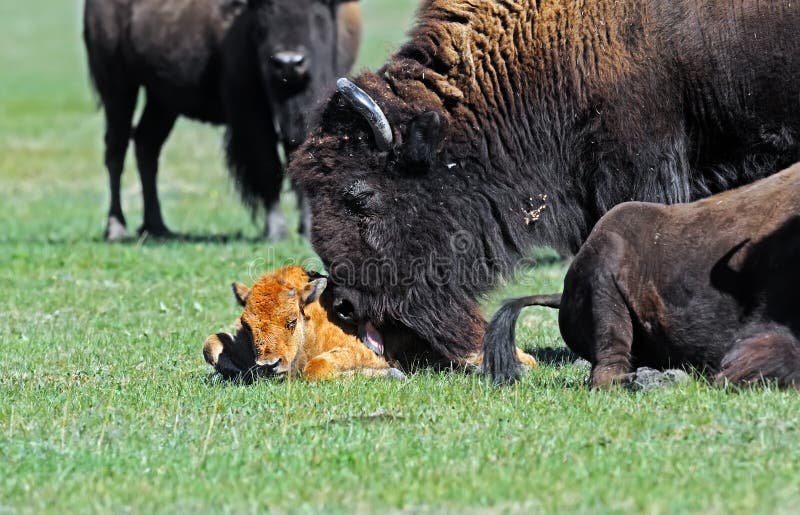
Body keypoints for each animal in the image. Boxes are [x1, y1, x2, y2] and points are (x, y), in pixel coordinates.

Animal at [84, 0, 361, 240]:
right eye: (264, 8)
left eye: (319, 9)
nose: (288, 63)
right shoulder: (250, 111)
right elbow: (267, 163)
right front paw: (276, 231)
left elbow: (300, 157)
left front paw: (307, 227)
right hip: (118, 87)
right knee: (116, 149)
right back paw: (116, 229)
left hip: (161, 101)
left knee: (146, 145)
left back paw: (157, 227)